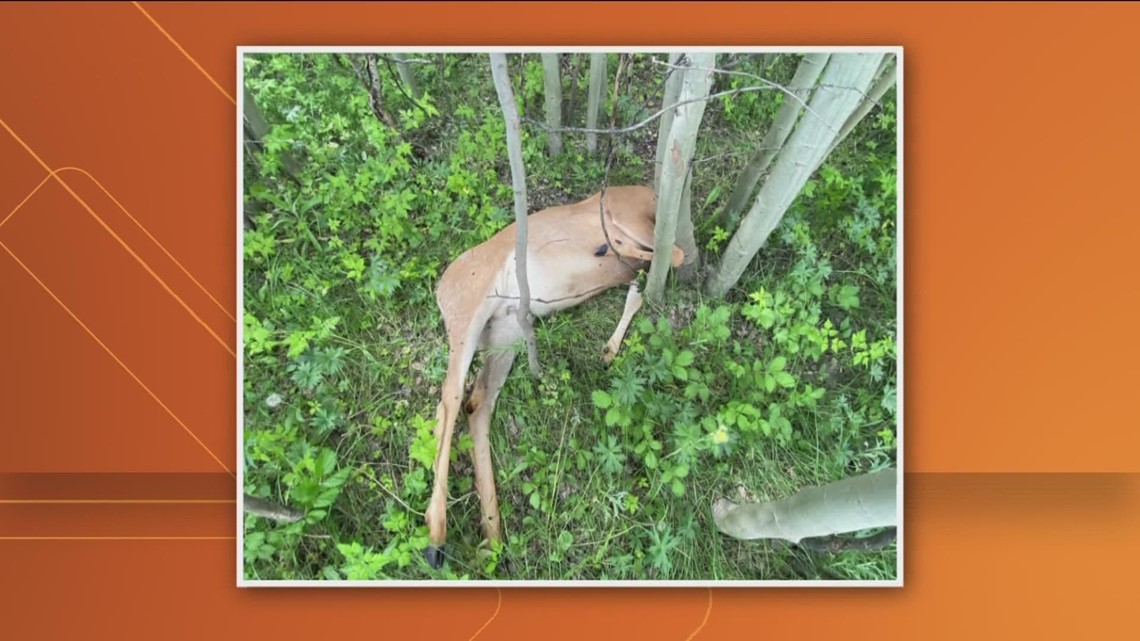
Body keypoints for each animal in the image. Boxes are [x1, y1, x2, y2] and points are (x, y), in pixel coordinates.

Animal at [423, 185, 684, 569]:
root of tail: (441, 287)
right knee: (449, 399)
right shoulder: (626, 219)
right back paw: (436, 537)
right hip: (468, 312)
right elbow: (670, 255)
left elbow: (641, 288)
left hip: (506, 330)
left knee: (477, 403)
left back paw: (493, 536)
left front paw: (608, 353)